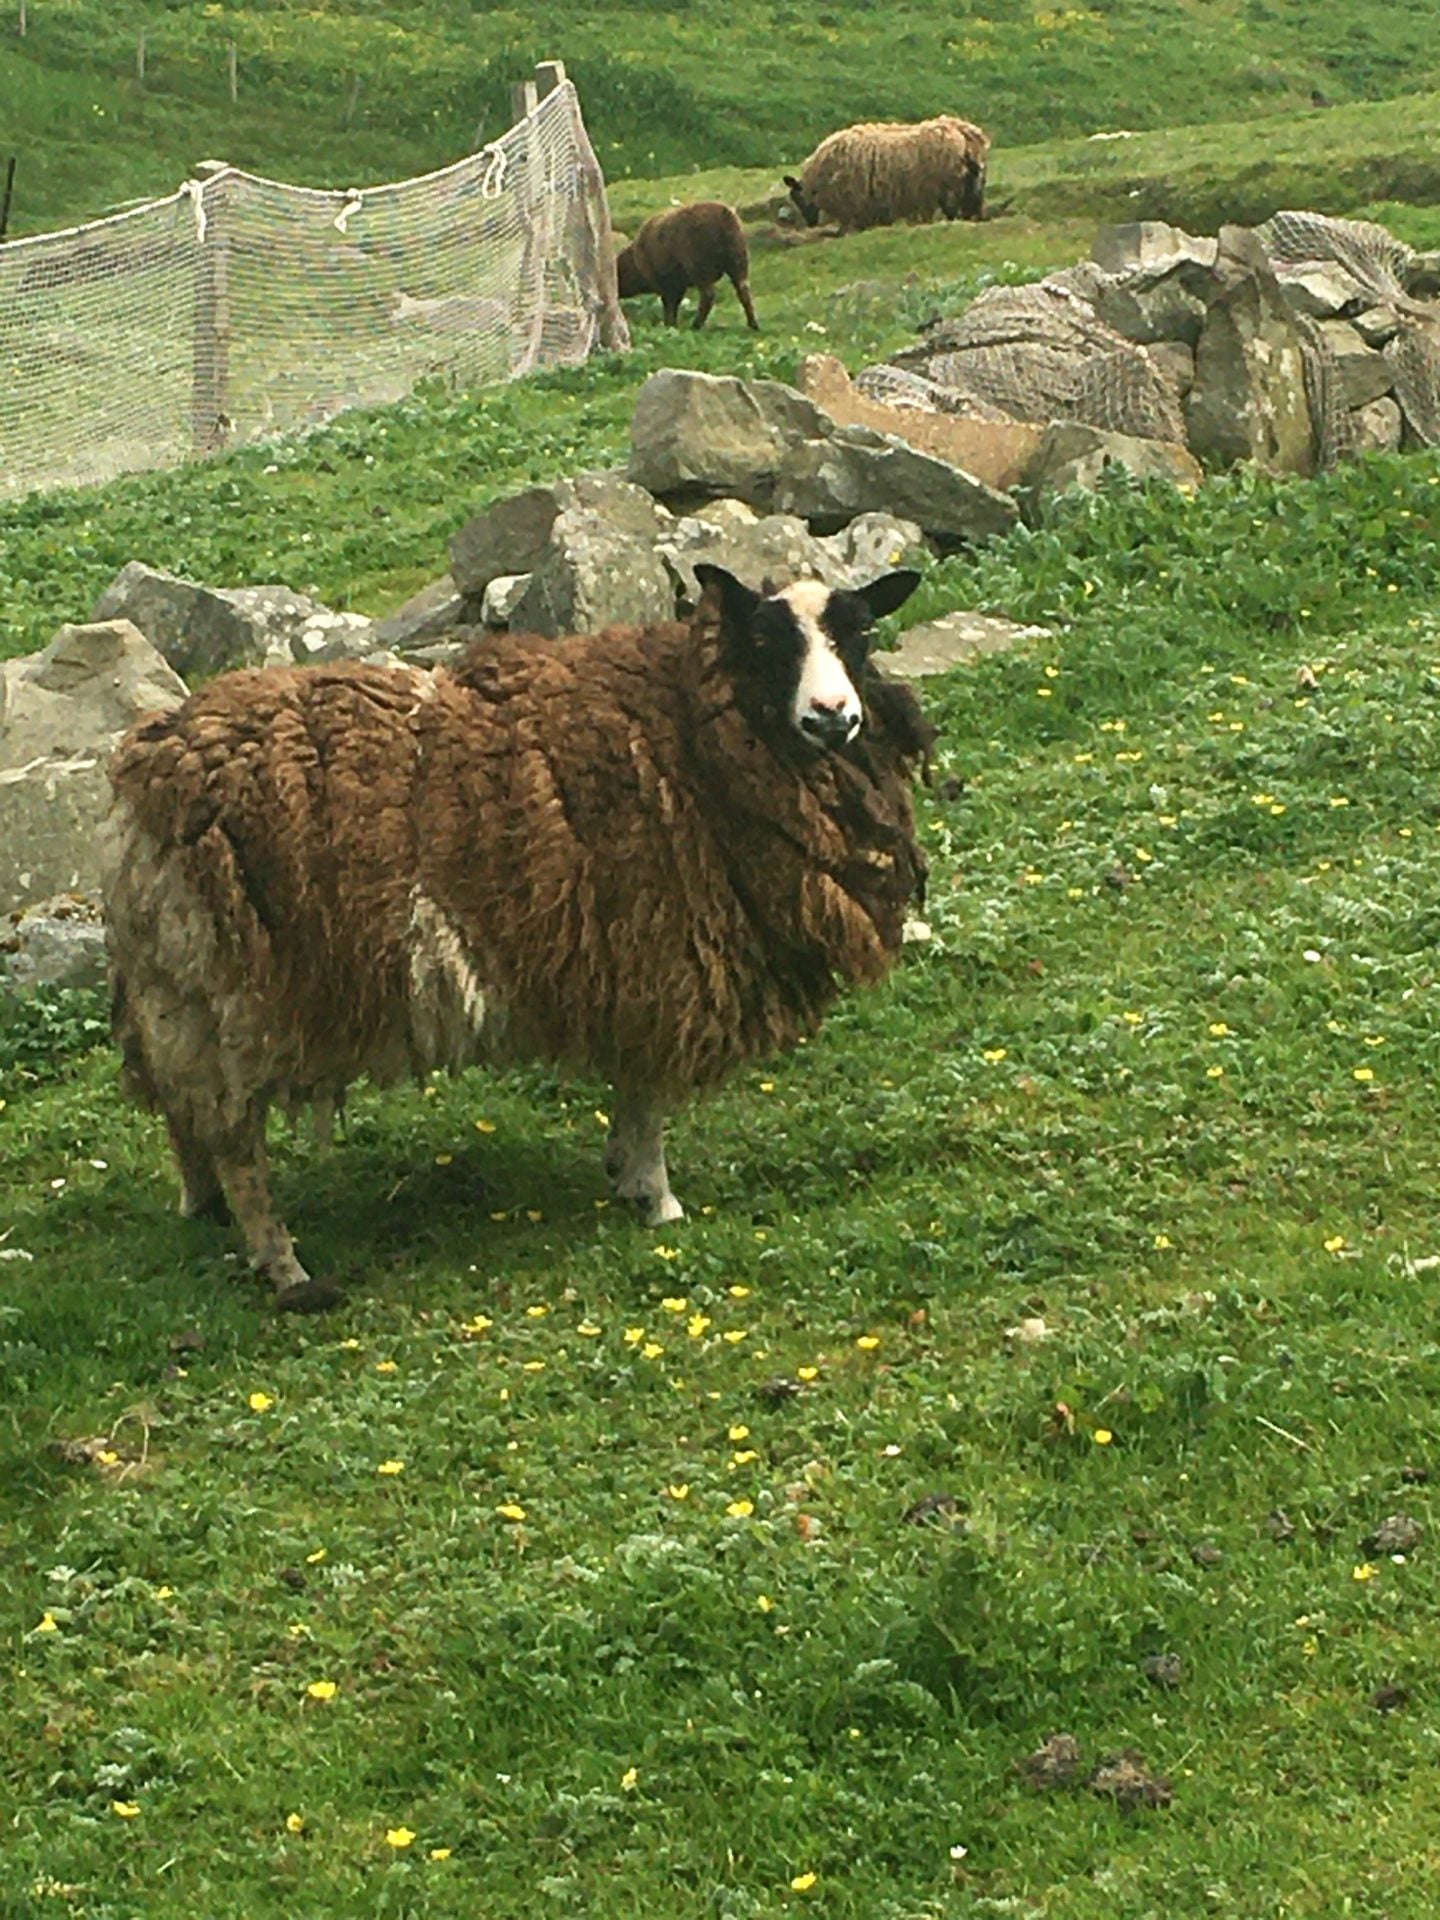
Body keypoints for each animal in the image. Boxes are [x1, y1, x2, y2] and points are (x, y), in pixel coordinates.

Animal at [100, 566, 931, 1312]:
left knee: (184, 1112)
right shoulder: (659, 952)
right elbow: (648, 1094)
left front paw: (624, 1173)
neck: (685, 723)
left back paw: (202, 1205)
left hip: (177, 990)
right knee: (238, 1147)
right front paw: (656, 1198)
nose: (832, 716)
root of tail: (146, 772)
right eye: (765, 639)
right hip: (232, 995)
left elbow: (632, 1092)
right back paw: (285, 1268)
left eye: (860, 633)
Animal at [615, 200, 759, 331]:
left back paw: (696, 325)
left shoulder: (667, 284)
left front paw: (669, 325)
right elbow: (674, 304)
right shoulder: (678, 285)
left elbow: (669, 304)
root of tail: (724, 215)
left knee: (708, 295)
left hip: (699, 266)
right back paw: (753, 324)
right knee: (744, 291)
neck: (634, 263)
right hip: (738, 260)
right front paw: (672, 325)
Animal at [784, 117, 991, 234]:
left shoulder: (854, 201)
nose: (810, 223)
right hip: (972, 180)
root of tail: (964, 133)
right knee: (972, 202)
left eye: (797, 198)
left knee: (953, 209)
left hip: (947, 185)